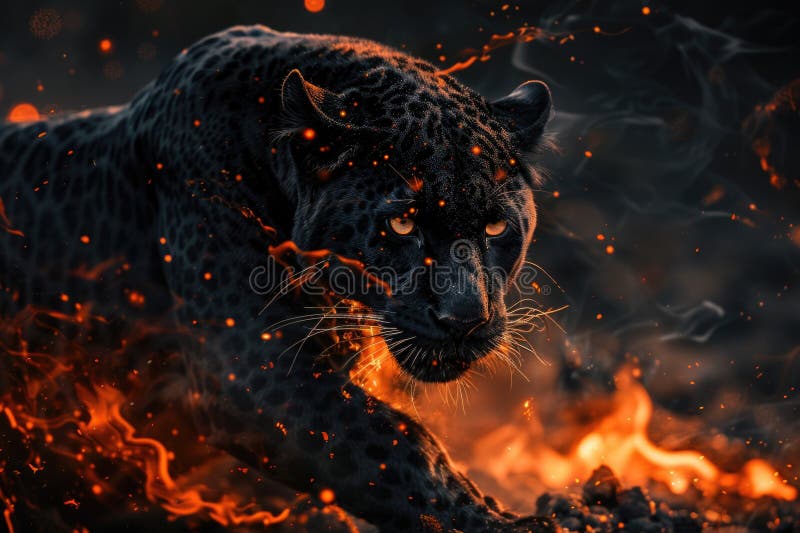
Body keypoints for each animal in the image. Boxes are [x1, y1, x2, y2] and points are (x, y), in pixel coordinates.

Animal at [0, 26, 553, 532]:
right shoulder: (251, 365)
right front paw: (506, 523)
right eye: (403, 223)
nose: (466, 317)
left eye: (495, 226)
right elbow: (398, 443)